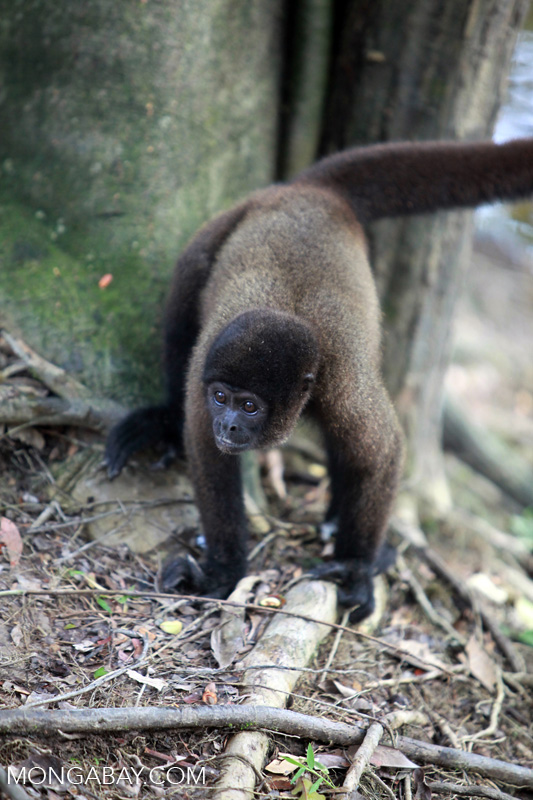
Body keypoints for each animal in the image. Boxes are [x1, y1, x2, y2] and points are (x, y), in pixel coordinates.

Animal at [105, 138, 533, 621]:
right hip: (229, 218)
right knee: (187, 282)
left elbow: (381, 452)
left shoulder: (344, 388)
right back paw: (163, 417)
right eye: (220, 398)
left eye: (249, 406)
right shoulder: (203, 381)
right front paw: (224, 570)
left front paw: (355, 568)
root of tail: (310, 191)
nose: (227, 424)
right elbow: (207, 453)